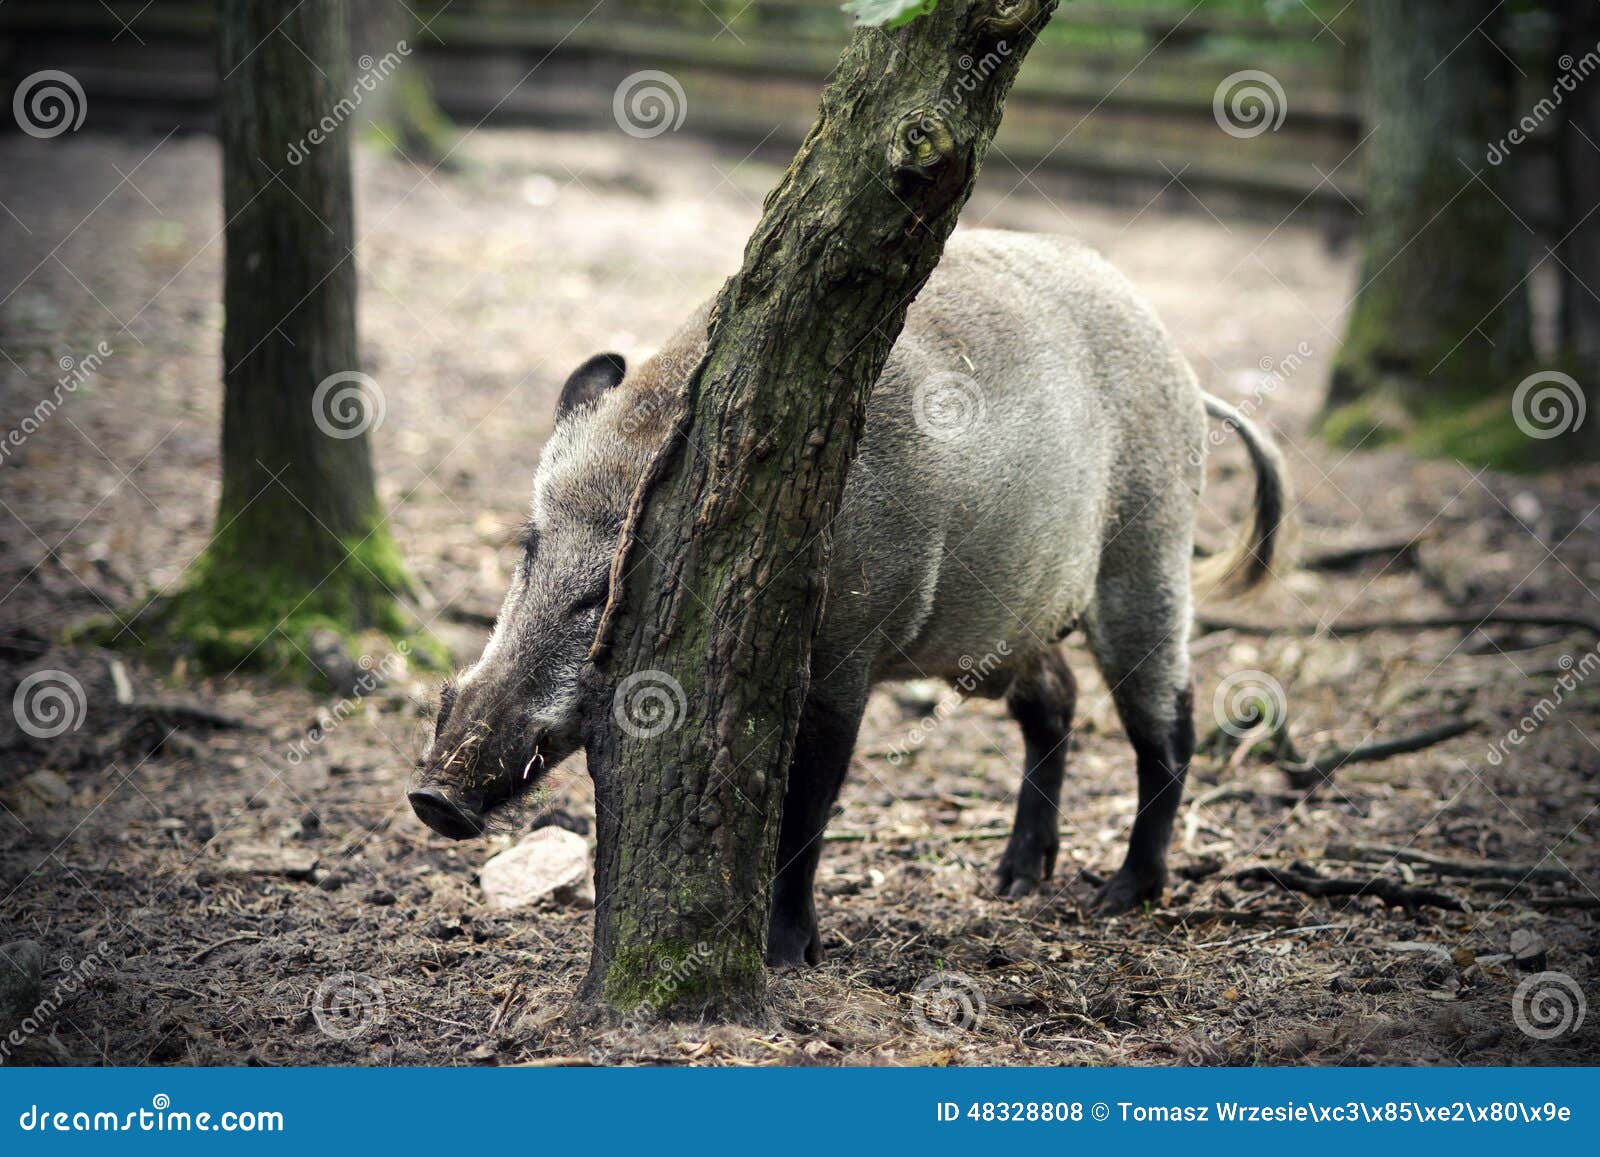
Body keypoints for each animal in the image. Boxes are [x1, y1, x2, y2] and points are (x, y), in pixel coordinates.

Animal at [411, 229, 1286, 967]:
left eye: (609, 589)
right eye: (529, 547)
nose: (433, 796)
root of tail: (1191, 381)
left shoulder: (845, 659)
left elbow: (805, 810)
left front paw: (785, 956)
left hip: (1149, 553)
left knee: (1168, 724)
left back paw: (1119, 897)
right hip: (1012, 624)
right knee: (1056, 700)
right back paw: (1012, 881)